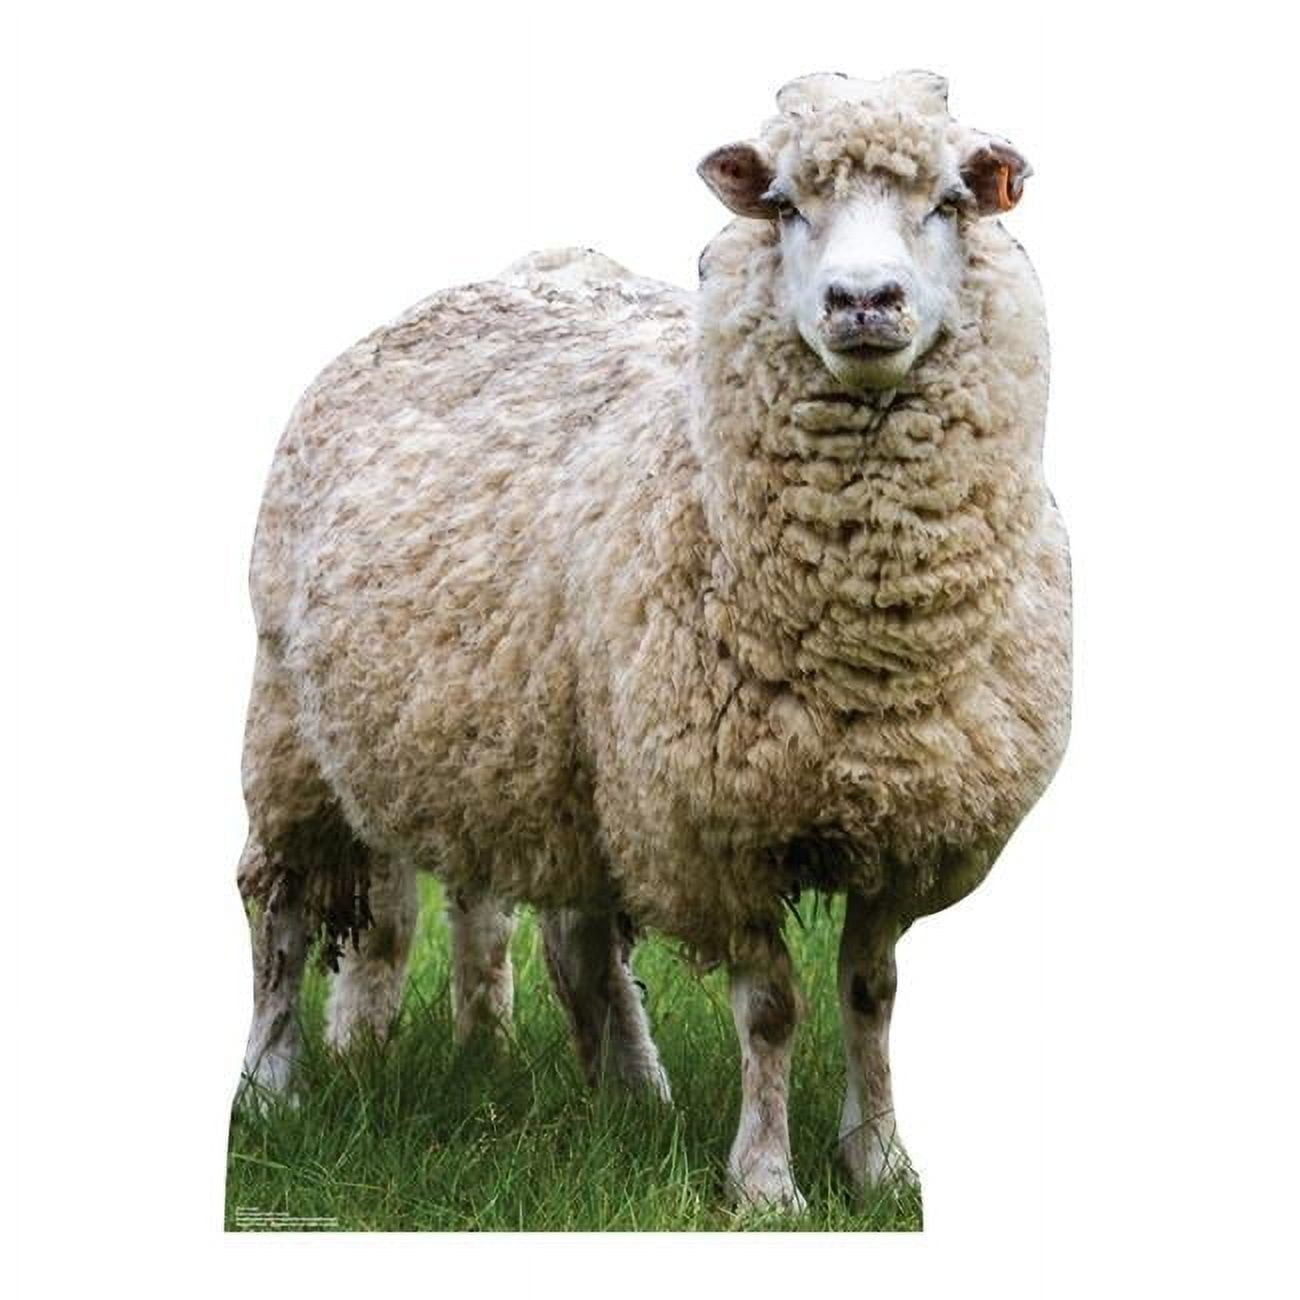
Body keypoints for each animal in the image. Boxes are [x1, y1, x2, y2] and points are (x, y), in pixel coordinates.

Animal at [235, 69, 1071, 1212]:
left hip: (534, 746)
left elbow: (871, 993)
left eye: (948, 203)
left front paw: (880, 1163)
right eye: (783, 205)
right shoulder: (713, 828)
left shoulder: (905, 829)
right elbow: (771, 1007)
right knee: (278, 913)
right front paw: (766, 1183)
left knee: (553, 927)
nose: (863, 301)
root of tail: (511, 272)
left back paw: (603, 1080)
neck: (868, 651)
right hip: (298, 728)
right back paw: (272, 1087)